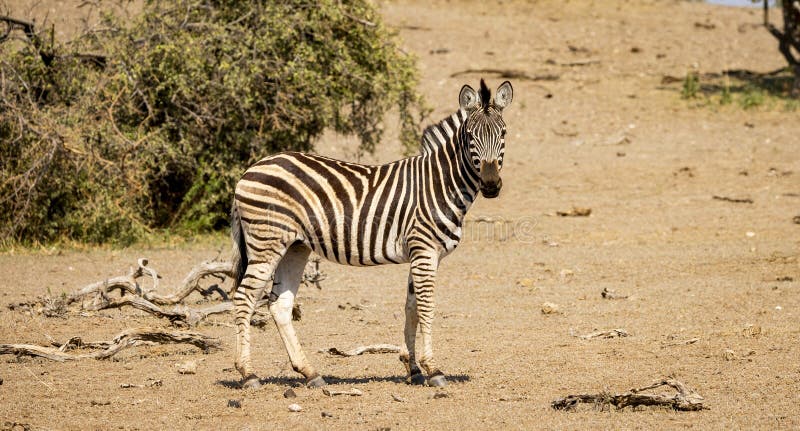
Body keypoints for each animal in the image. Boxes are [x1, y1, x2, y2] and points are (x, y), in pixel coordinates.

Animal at [230, 79, 513, 389]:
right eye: (470, 136)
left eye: (503, 133)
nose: (490, 185)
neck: (440, 183)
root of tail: (250, 169)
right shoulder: (425, 250)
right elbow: (427, 307)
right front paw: (433, 369)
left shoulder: (422, 254)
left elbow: (411, 306)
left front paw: (413, 368)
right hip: (266, 241)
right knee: (243, 298)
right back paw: (248, 374)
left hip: (295, 246)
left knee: (279, 304)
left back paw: (310, 373)